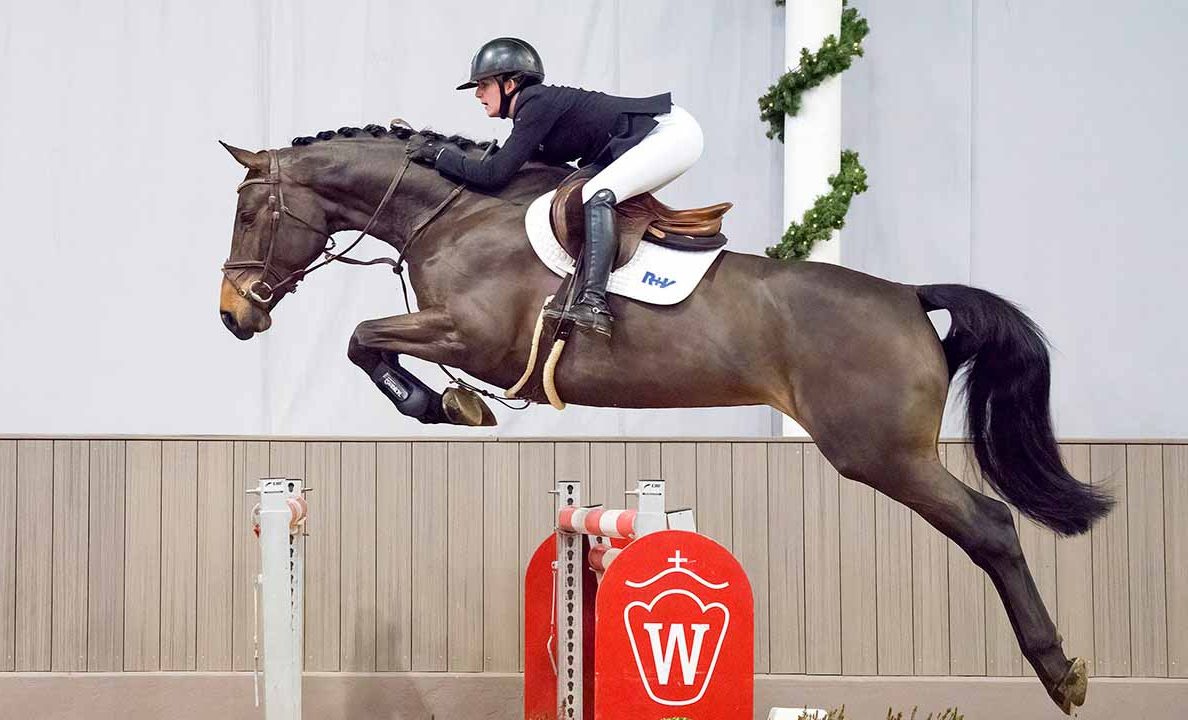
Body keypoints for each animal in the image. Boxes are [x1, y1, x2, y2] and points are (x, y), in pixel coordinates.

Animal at [217, 123, 1110, 713]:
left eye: (251, 214)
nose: (234, 315)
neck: (457, 216)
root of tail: (911, 298)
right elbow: (366, 340)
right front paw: (442, 403)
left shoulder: (477, 337)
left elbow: (364, 338)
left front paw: (437, 403)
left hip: (882, 453)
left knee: (991, 526)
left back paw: (1060, 671)